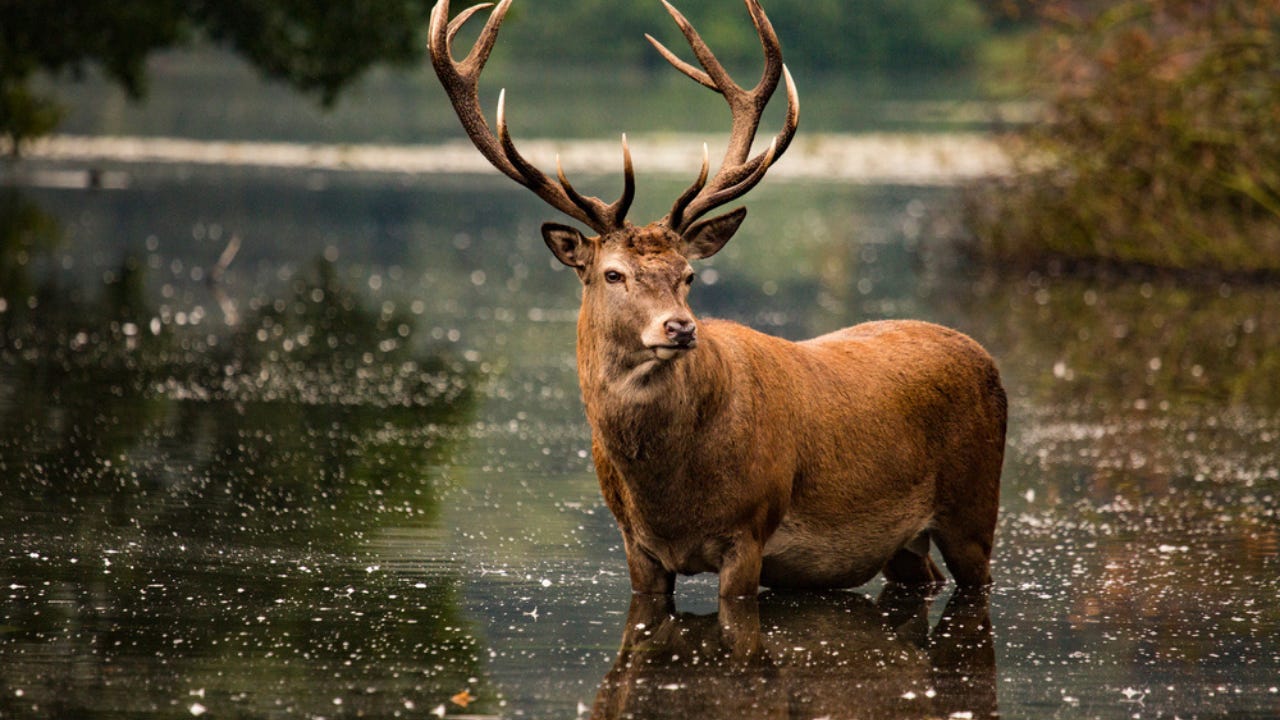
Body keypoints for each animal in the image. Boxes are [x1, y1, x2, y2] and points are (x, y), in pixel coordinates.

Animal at [428, 0, 1007, 598]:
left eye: (688, 275)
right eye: (613, 274)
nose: (679, 328)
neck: (667, 501)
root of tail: (984, 358)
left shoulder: (749, 532)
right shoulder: (636, 548)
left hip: (974, 505)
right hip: (903, 546)